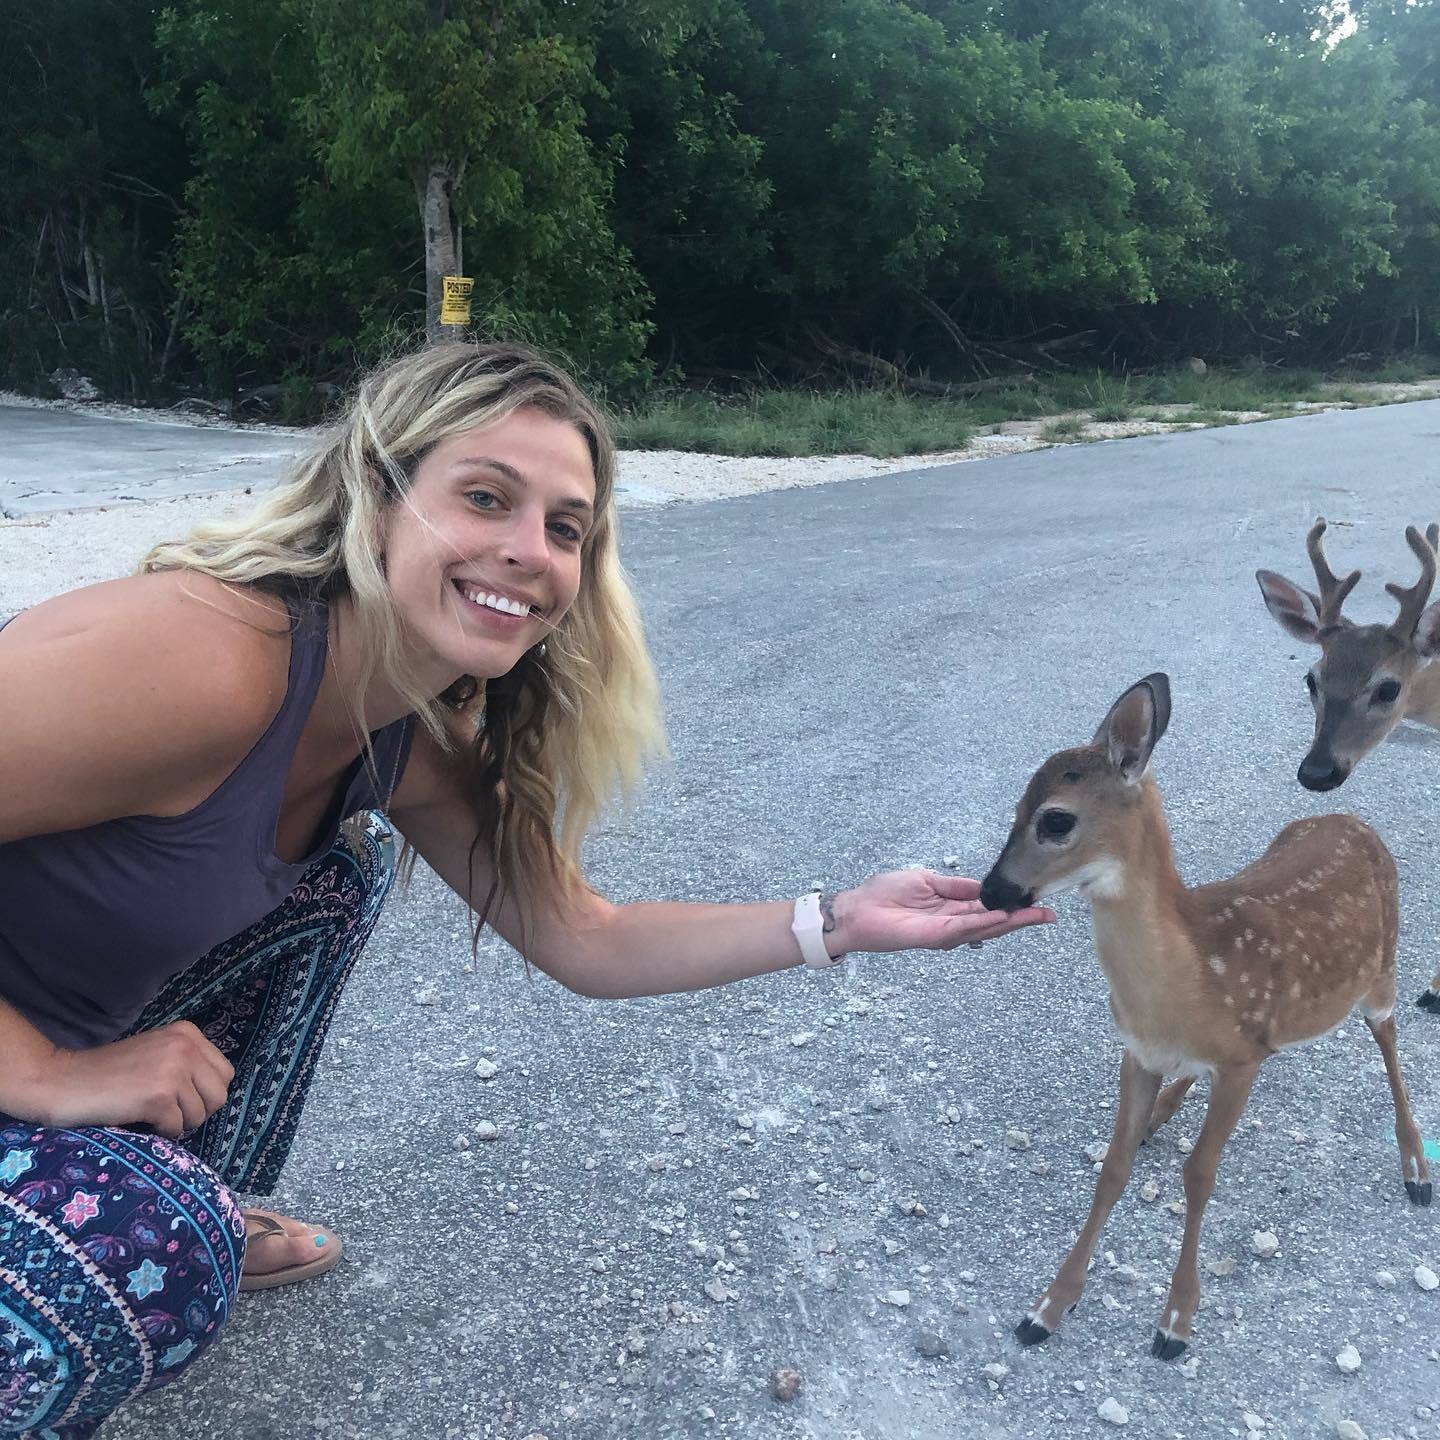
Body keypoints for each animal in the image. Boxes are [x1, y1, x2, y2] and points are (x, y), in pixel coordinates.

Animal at [977, 672, 1431, 1363]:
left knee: (1388, 1038)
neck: (1185, 981)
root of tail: (1353, 818)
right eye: (1015, 808)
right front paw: (1047, 1308)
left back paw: (1416, 1169)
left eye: (1055, 819)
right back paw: (1164, 1113)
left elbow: (1199, 1172)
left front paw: (1175, 1321)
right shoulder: (1138, 1052)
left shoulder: (1240, 1062)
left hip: (1382, 970)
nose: (989, 892)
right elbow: (1112, 1168)